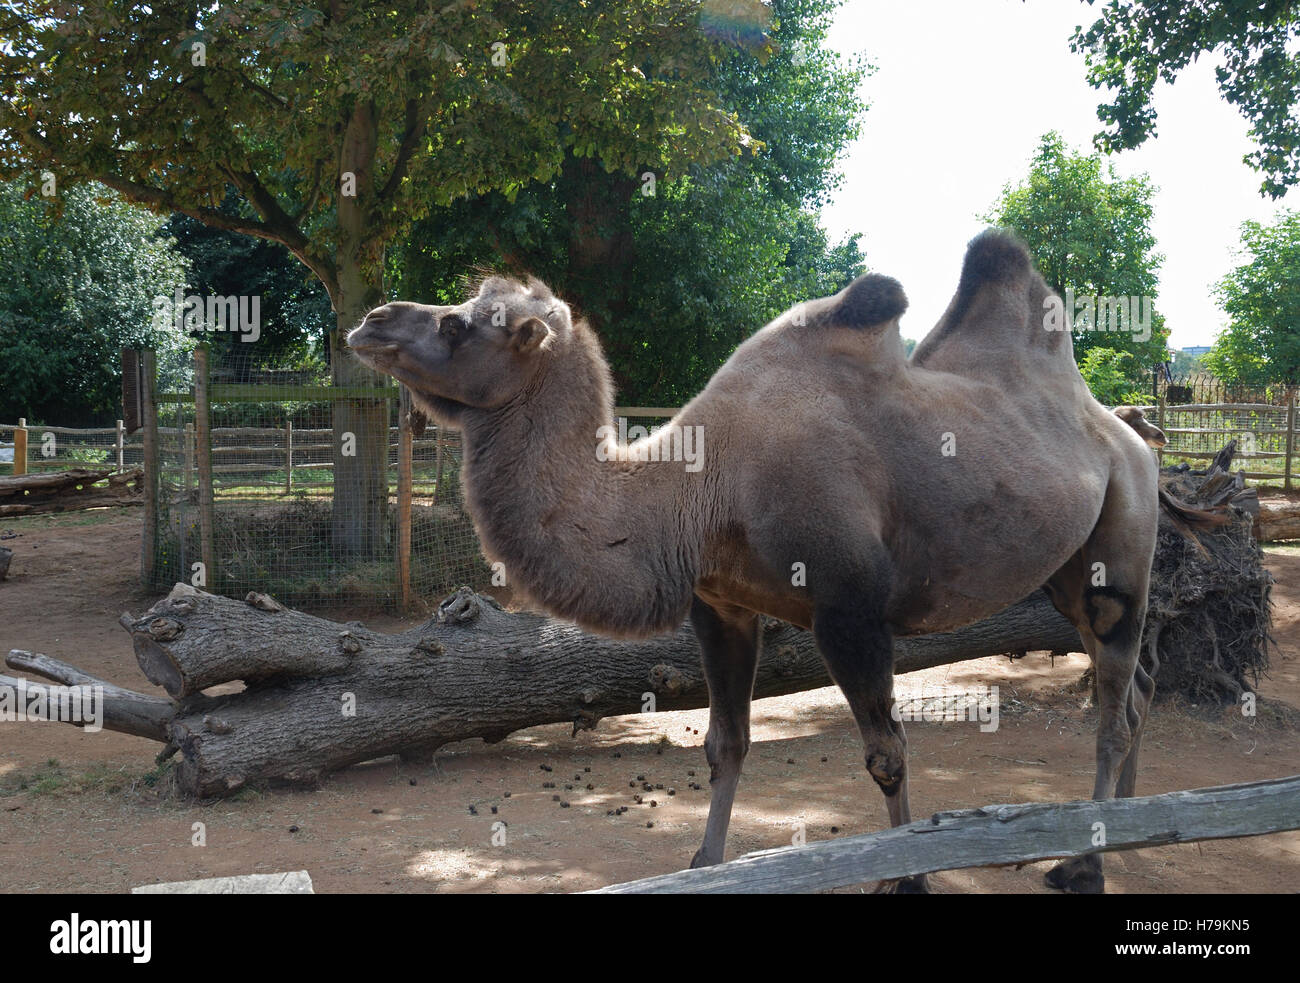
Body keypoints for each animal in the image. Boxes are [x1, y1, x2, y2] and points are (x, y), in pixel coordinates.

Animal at [348, 230, 1162, 893]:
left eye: (457, 325)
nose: (370, 320)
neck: (705, 488)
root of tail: (1128, 432)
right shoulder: (721, 605)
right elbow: (725, 745)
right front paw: (704, 864)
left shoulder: (849, 610)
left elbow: (887, 754)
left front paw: (905, 878)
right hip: (1065, 576)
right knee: (1134, 689)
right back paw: (1125, 827)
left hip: (1123, 543)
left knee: (1113, 703)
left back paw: (1084, 863)